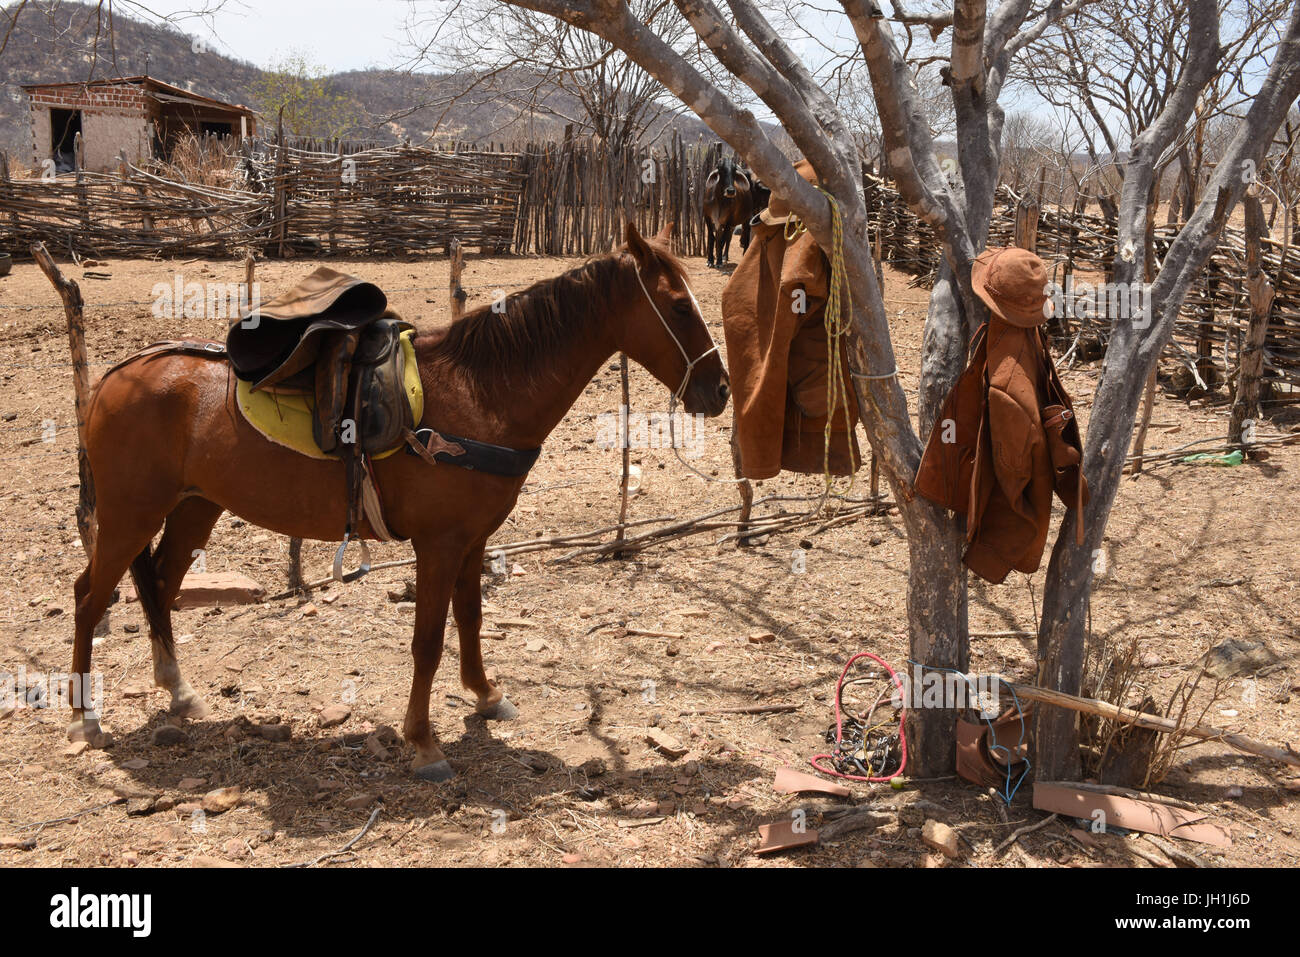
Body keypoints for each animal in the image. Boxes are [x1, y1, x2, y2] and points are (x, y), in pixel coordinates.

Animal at [65, 222, 730, 783]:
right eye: (678, 306)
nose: (719, 390)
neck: (480, 394)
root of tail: (113, 379)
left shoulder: (473, 539)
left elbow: (470, 618)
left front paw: (486, 696)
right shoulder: (439, 545)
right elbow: (428, 639)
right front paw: (423, 742)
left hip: (194, 507)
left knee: (160, 584)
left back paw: (178, 691)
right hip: (130, 515)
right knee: (90, 595)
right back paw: (84, 719)